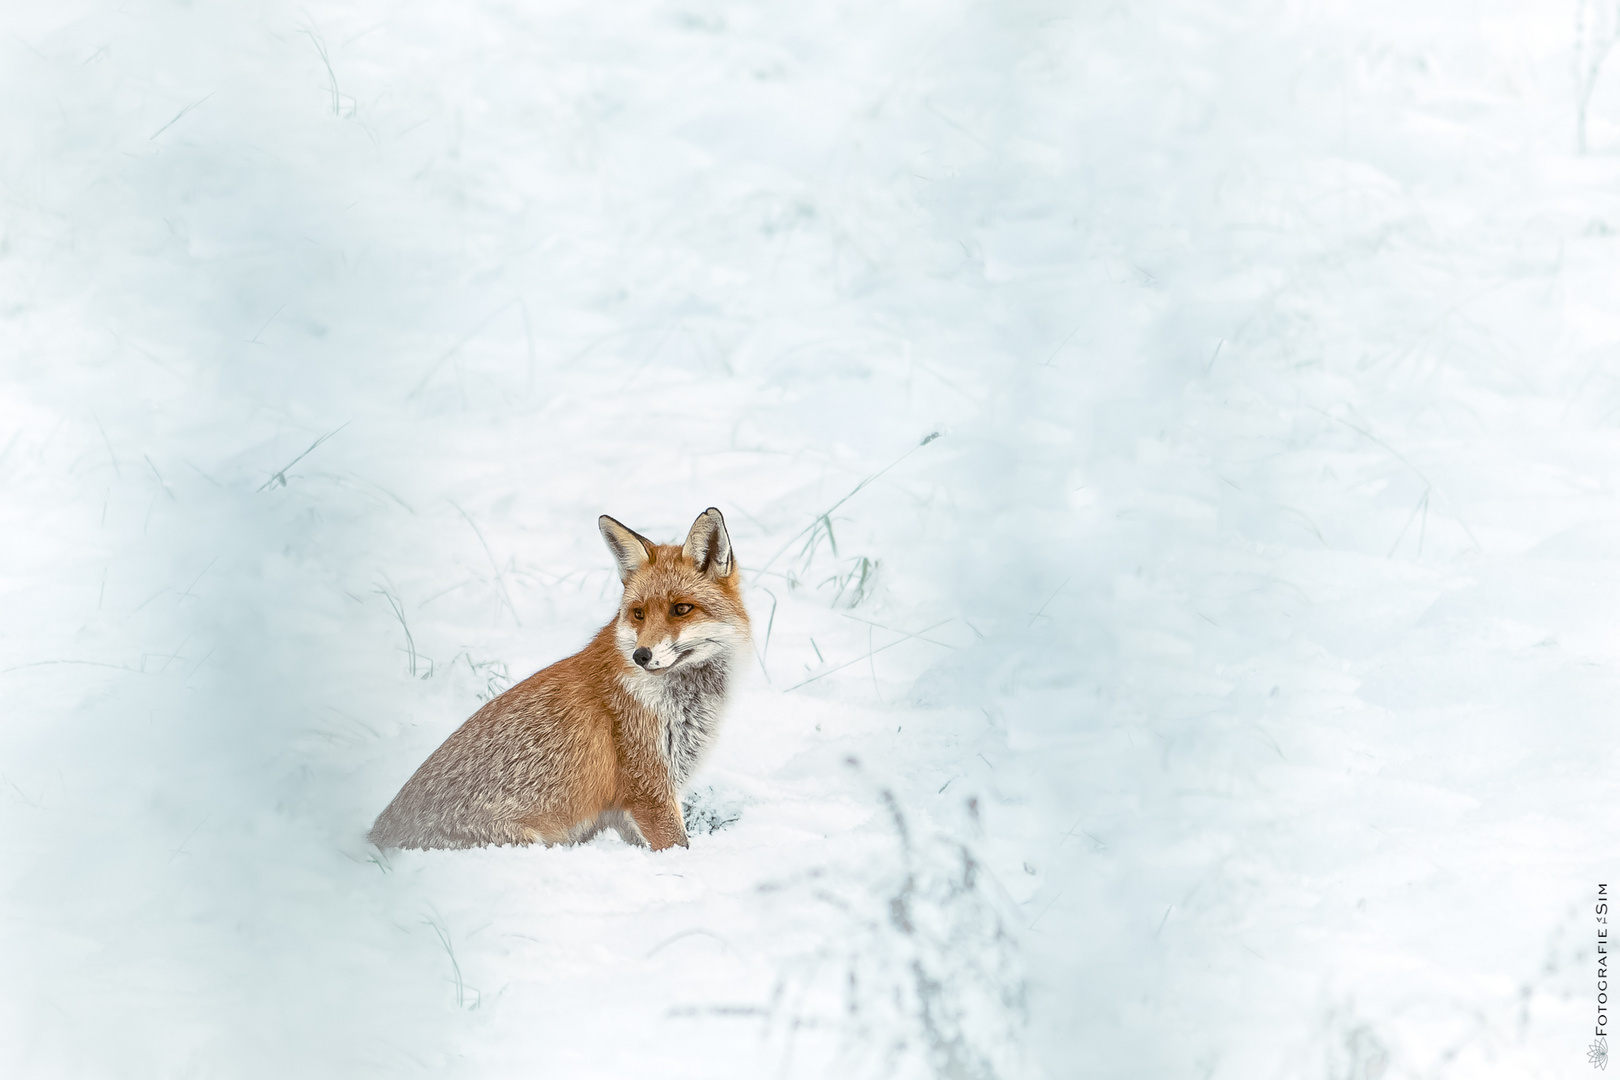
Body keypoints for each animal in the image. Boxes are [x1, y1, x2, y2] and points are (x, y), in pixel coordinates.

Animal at [368, 507, 749, 852]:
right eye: (638, 614)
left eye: (681, 609)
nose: (641, 655)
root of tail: (374, 837)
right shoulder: (648, 791)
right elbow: (677, 848)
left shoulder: (628, 809)